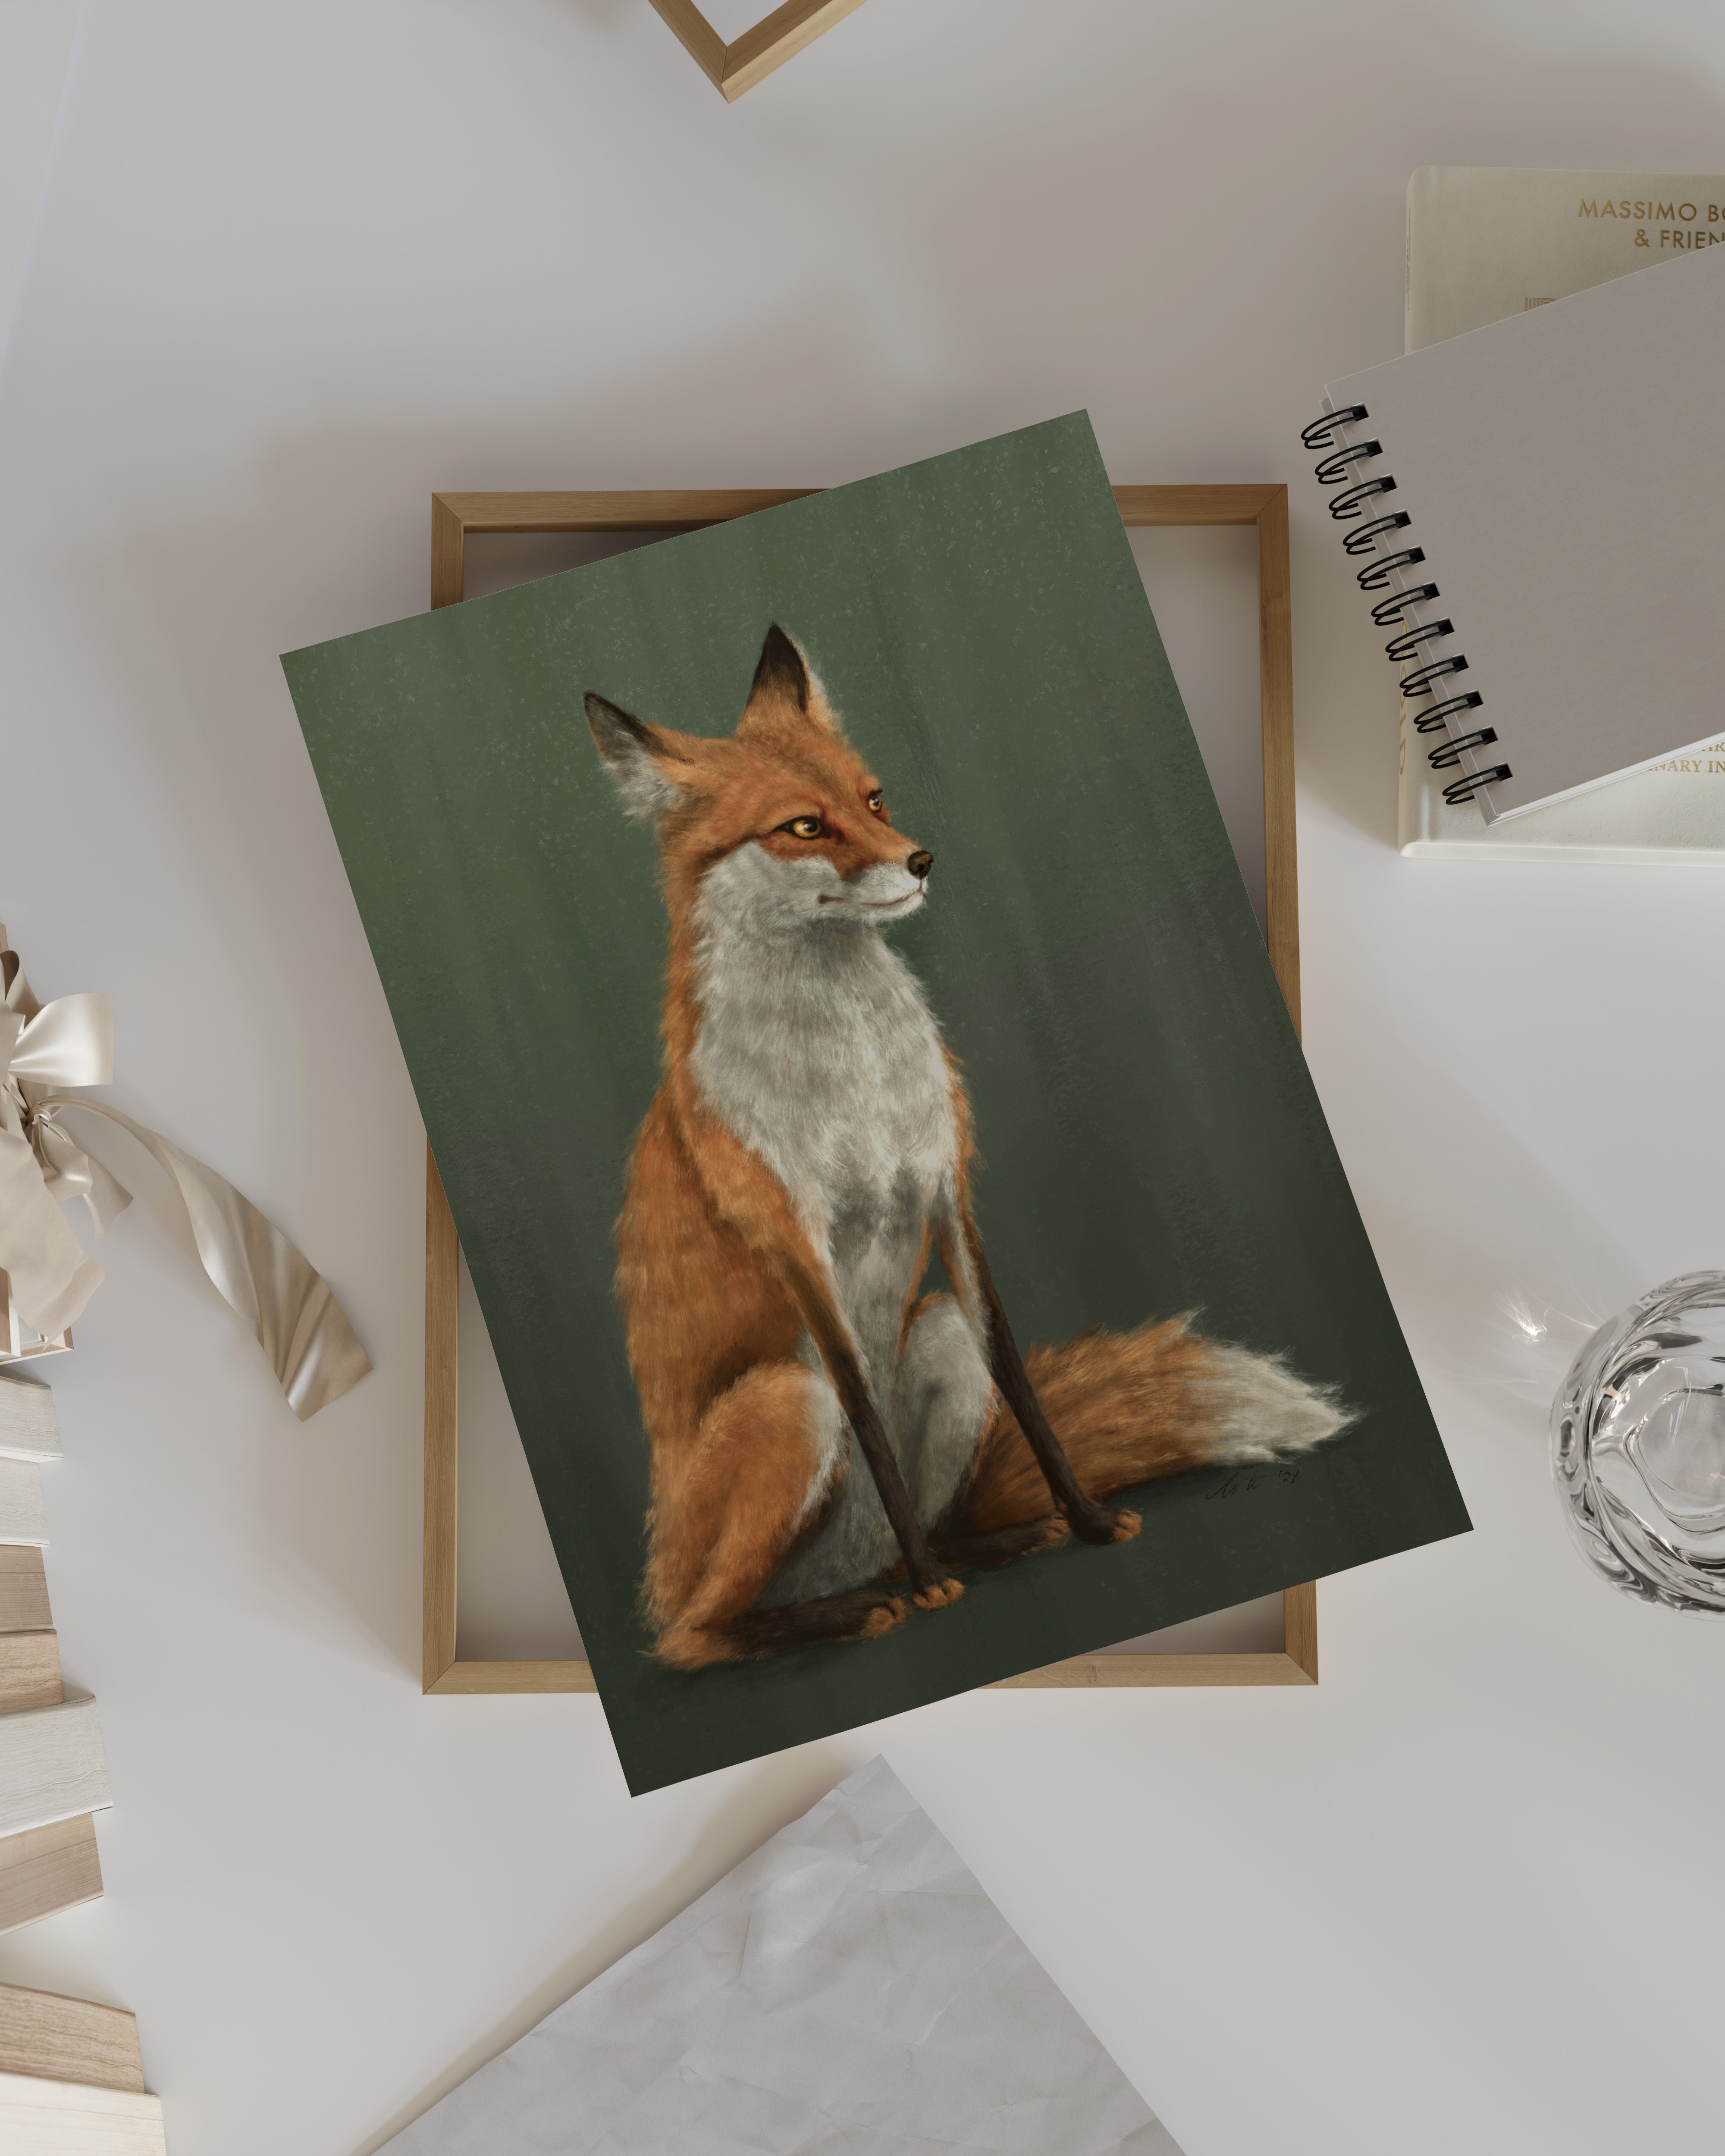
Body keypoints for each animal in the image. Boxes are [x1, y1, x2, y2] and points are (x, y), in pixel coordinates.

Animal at [586, 625, 1349, 1673]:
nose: (920, 858)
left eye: (872, 799)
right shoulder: (796, 1239)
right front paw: (931, 1590)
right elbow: (866, 1417)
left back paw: (988, 1544)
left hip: (935, 1332)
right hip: (785, 1402)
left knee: (936, 1494)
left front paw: (1087, 1518)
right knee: (693, 1638)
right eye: (804, 827)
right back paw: (857, 1608)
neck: (850, 1069)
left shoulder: (947, 1190)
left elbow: (1020, 1378)